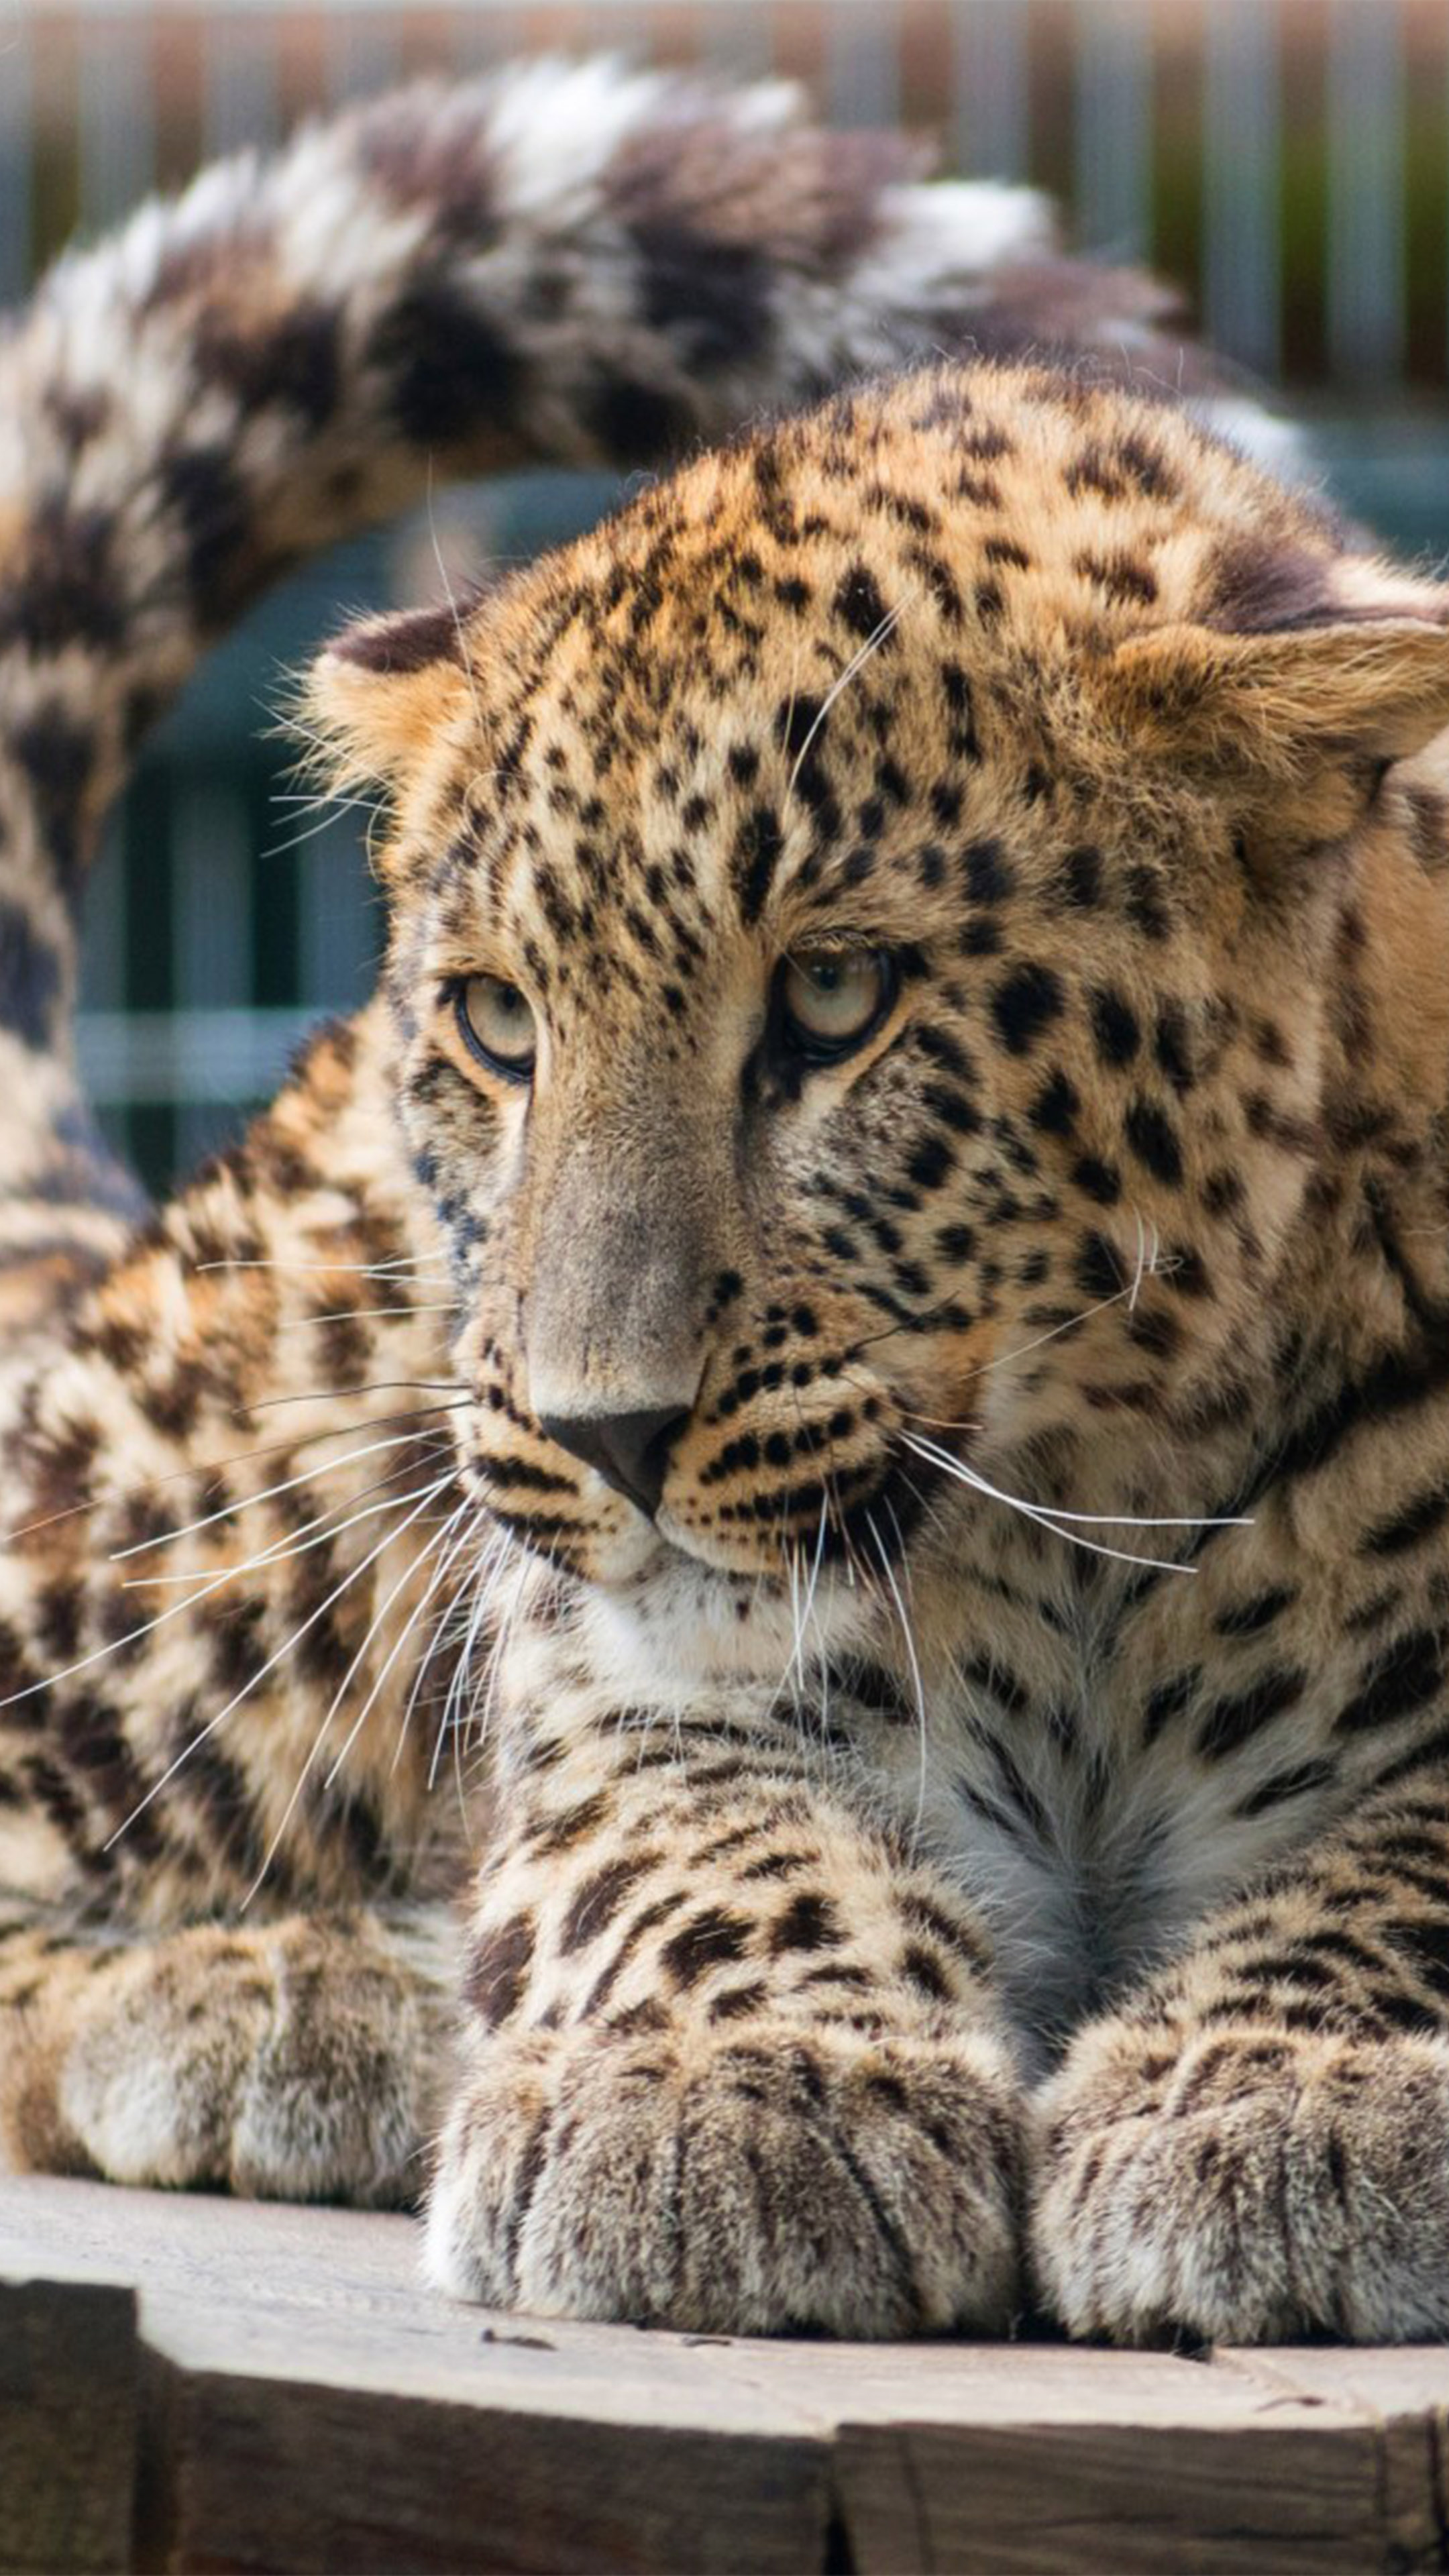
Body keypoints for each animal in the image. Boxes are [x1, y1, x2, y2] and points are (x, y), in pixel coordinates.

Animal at [4, 54, 1446, 2353]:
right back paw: (297, 2001)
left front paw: (1287, 2088)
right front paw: (736, 2093)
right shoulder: (652, 1689)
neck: (1101, 1490)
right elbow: (705, 1858)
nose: (607, 1434)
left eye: (839, 999)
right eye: (501, 1022)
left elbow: (1401, 1867)